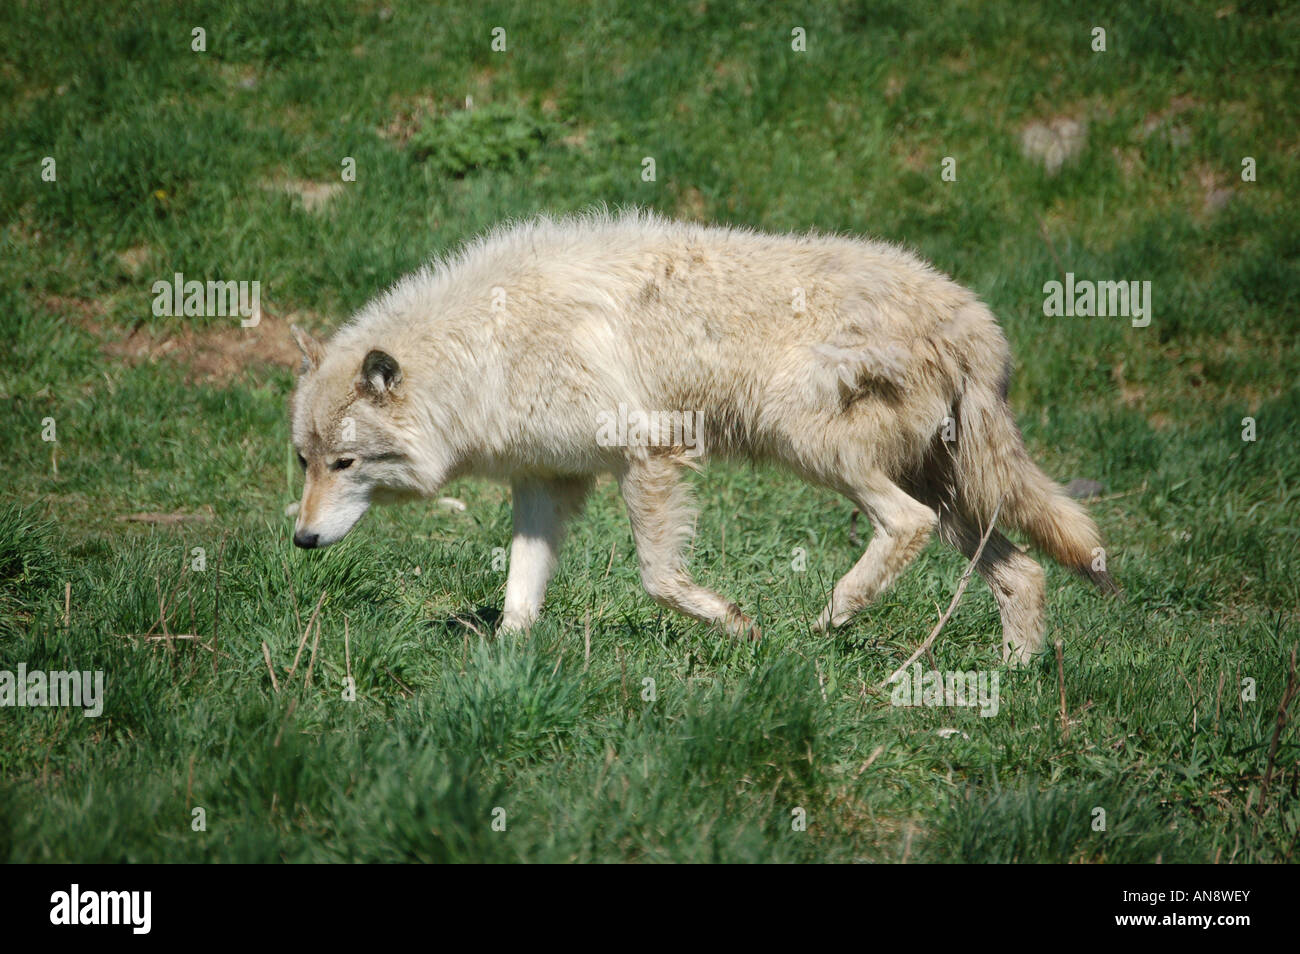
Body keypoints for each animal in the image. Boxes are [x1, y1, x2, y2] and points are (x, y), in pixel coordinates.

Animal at [289, 210, 1114, 664]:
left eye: (346, 462)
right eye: (305, 462)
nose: (300, 540)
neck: (489, 346)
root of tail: (976, 320)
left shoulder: (649, 455)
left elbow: (659, 579)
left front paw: (737, 625)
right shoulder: (546, 483)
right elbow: (519, 600)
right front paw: (503, 672)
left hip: (814, 447)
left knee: (904, 527)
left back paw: (838, 612)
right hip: (947, 497)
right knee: (1024, 572)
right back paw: (1010, 680)